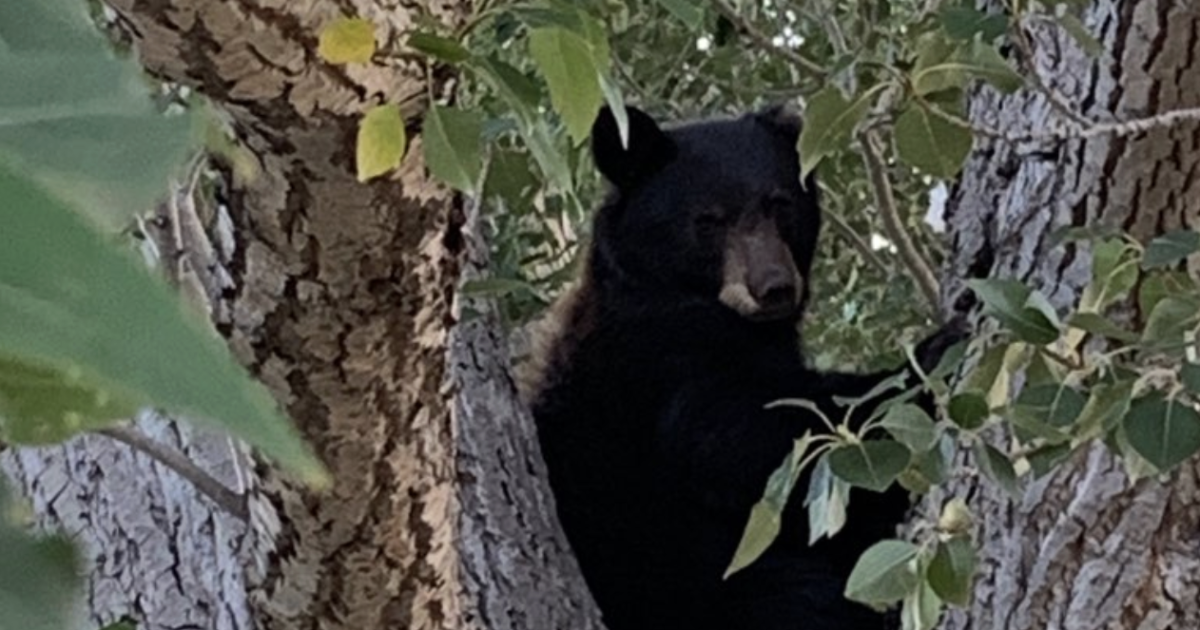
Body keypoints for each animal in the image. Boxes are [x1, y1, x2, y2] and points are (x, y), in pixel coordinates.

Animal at [524, 104, 962, 630]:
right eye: (709, 220)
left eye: (779, 204)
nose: (774, 287)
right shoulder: (657, 359)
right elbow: (745, 441)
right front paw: (927, 362)